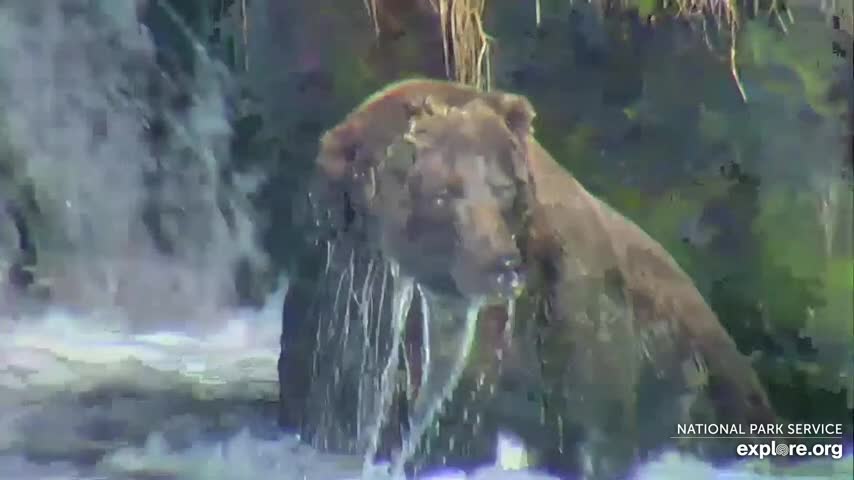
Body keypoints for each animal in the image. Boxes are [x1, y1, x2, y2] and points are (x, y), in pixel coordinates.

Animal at [278, 79, 776, 479]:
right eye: (442, 192)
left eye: (501, 186)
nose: (500, 263)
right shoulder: (350, 304)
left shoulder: (576, 308)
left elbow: (595, 418)